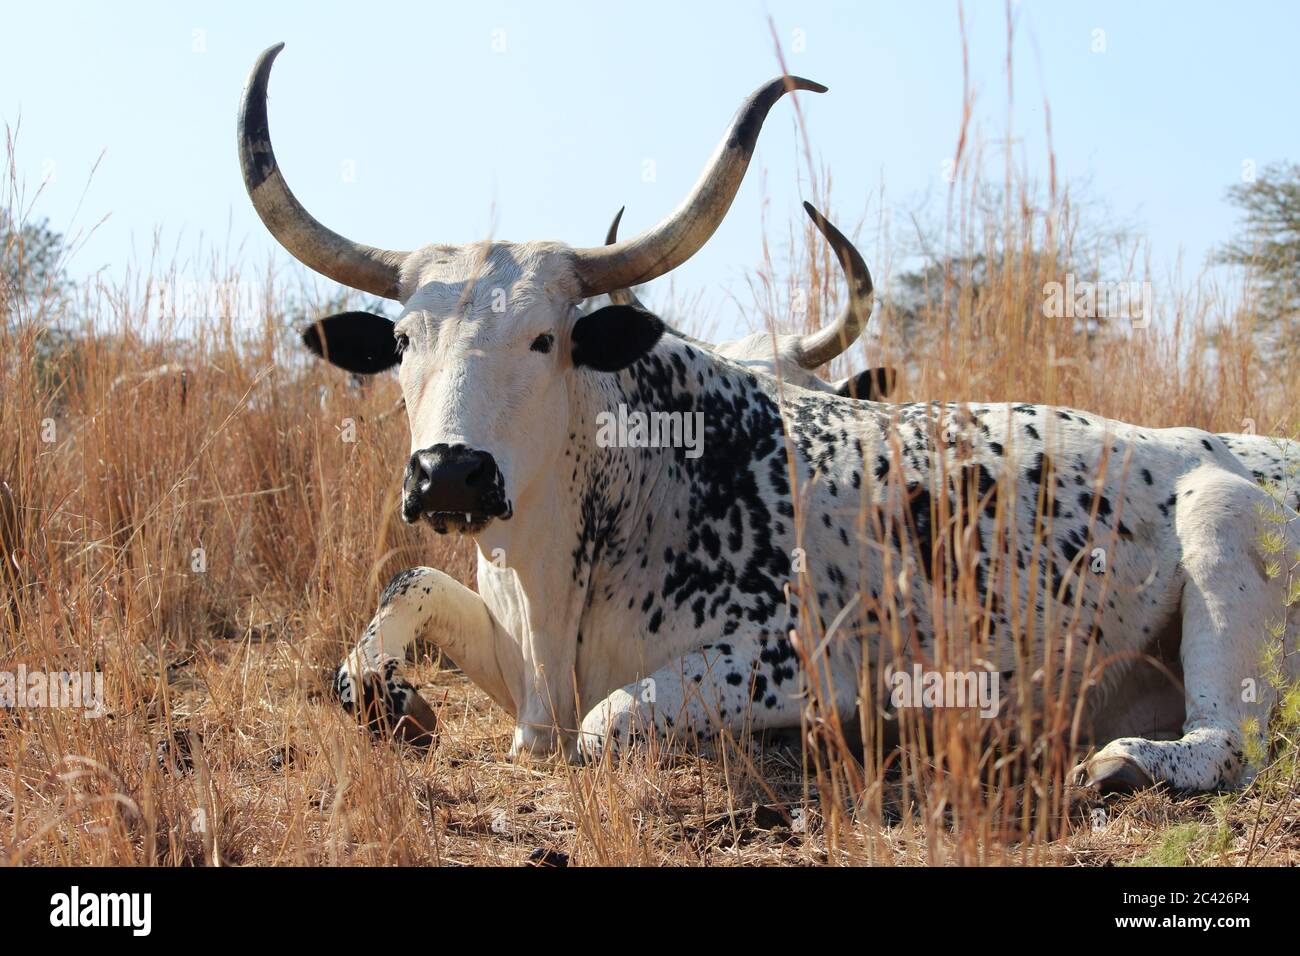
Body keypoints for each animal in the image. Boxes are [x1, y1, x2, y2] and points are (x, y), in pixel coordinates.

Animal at [239, 43, 1299, 793]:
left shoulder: (792, 662)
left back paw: (1120, 766)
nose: (450, 473)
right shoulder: (514, 665)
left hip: (1226, 527)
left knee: (1227, 743)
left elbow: (605, 725)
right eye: (402, 341)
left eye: (547, 338)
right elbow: (400, 596)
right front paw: (400, 704)